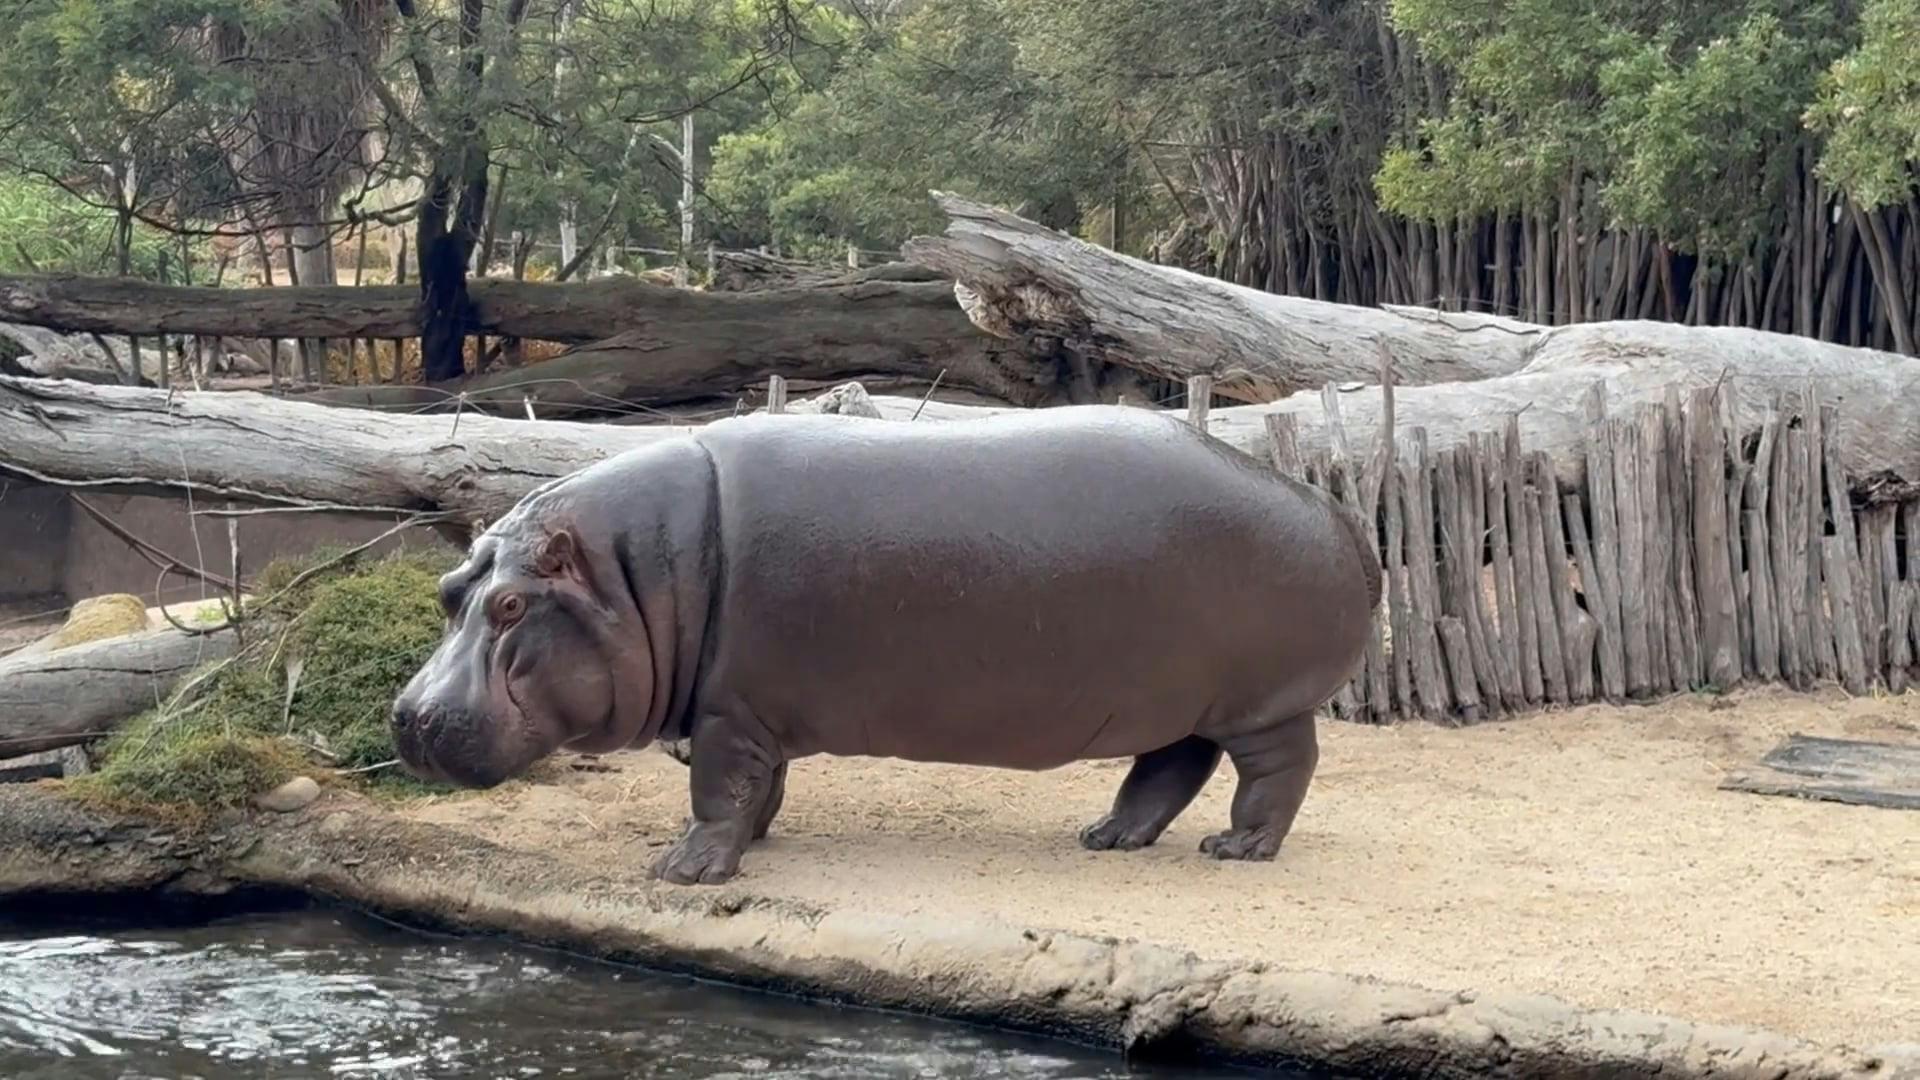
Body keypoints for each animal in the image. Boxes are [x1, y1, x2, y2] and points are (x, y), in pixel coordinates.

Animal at [390, 405, 1382, 885]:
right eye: (448, 592)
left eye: (511, 605)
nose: (407, 717)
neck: (634, 570)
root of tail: (1336, 511)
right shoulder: (751, 710)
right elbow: (758, 790)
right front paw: (753, 846)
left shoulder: (728, 713)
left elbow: (717, 790)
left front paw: (680, 872)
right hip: (1180, 700)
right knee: (1171, 766)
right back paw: (1106, 837)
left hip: (1260, 703)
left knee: (1280, 768)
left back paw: (1238, 850)